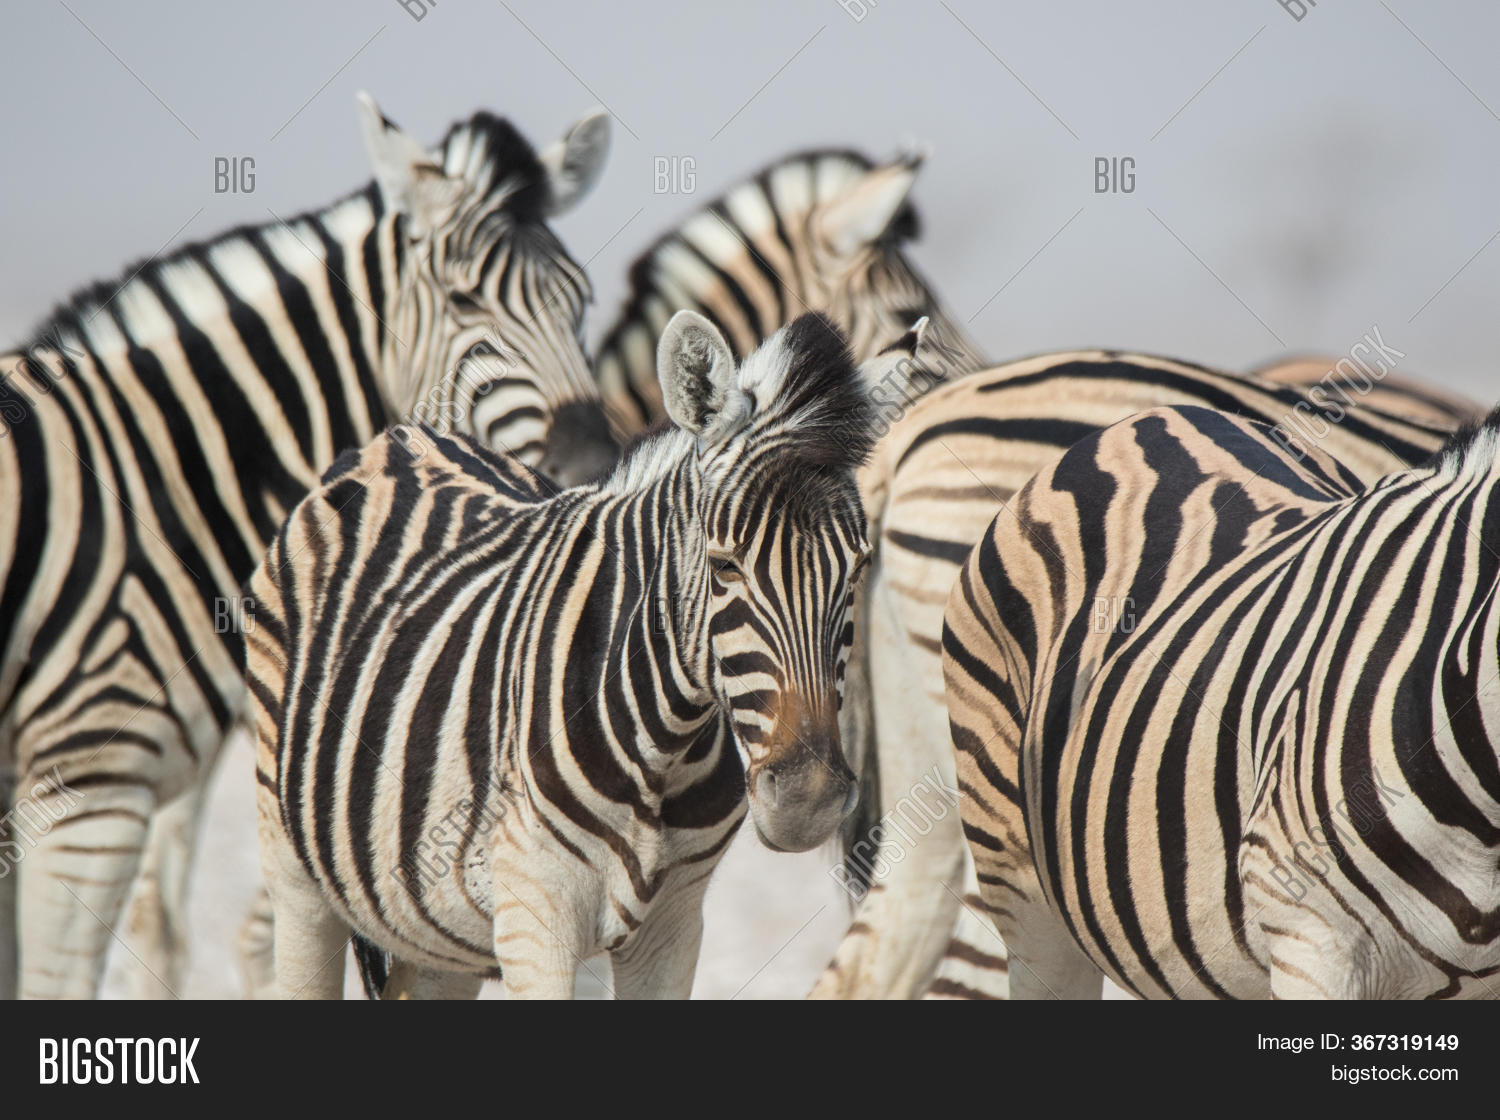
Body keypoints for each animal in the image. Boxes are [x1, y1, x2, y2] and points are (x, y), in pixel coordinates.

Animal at [245, 310, 881, 999]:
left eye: (858, 569)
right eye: (725, 567)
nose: (808, 804)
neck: (663, 742)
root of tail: (401, 439)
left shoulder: (673, 927)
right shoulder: (535, 916)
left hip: (433, 932)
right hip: (295, 872)